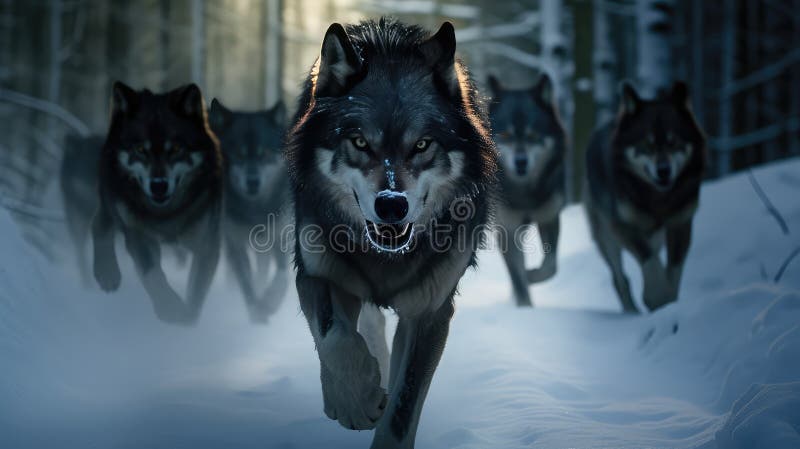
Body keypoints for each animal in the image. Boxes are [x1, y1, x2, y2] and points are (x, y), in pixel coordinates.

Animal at [91, 82, 223, 324]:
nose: (159, 185)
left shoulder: (207, 245)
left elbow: (196, 292)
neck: (166, 216)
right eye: (141, 150)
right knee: (99, 222)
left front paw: (187, 319)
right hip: (112, 197)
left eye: (177, 149)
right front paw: (170, 308)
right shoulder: (138, 236)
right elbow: (153, 276)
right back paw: (107, 273)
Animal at [209, 99, 291, 323]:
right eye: (238, 154)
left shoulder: (281, 238)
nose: (252, 182)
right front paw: (256, 313)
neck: (255, 209)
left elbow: (281, 276)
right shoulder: (235, 244)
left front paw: (271, 301)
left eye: (265, 153)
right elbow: (247, 283)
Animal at [285, 18, 496, 448]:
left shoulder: (430, 313)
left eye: (422, 145)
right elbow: (335, 336)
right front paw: (354, 401)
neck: (387, 257)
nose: (392, 205)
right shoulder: (316, 275)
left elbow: (403, 410)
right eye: (360, 142)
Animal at [487, 74, 567, 306]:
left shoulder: (549, 217)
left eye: (533, 136)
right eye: (506, 135)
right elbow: (518, 278)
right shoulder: (507, 228)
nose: (520, 162)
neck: (525, 195)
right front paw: (525, 307)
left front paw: (532, 275)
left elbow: (551, 266)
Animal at [585, 81, 706, 313]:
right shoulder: (622, 225)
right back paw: (630, 312)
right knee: (619, 279)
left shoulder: (681, 223)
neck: (658, 200)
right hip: (606, 238)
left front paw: (668, 302)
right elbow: (650, 261)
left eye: (674, 142)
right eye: (646, 144)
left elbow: (673, 269)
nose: (664, 170)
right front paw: (657, 299)